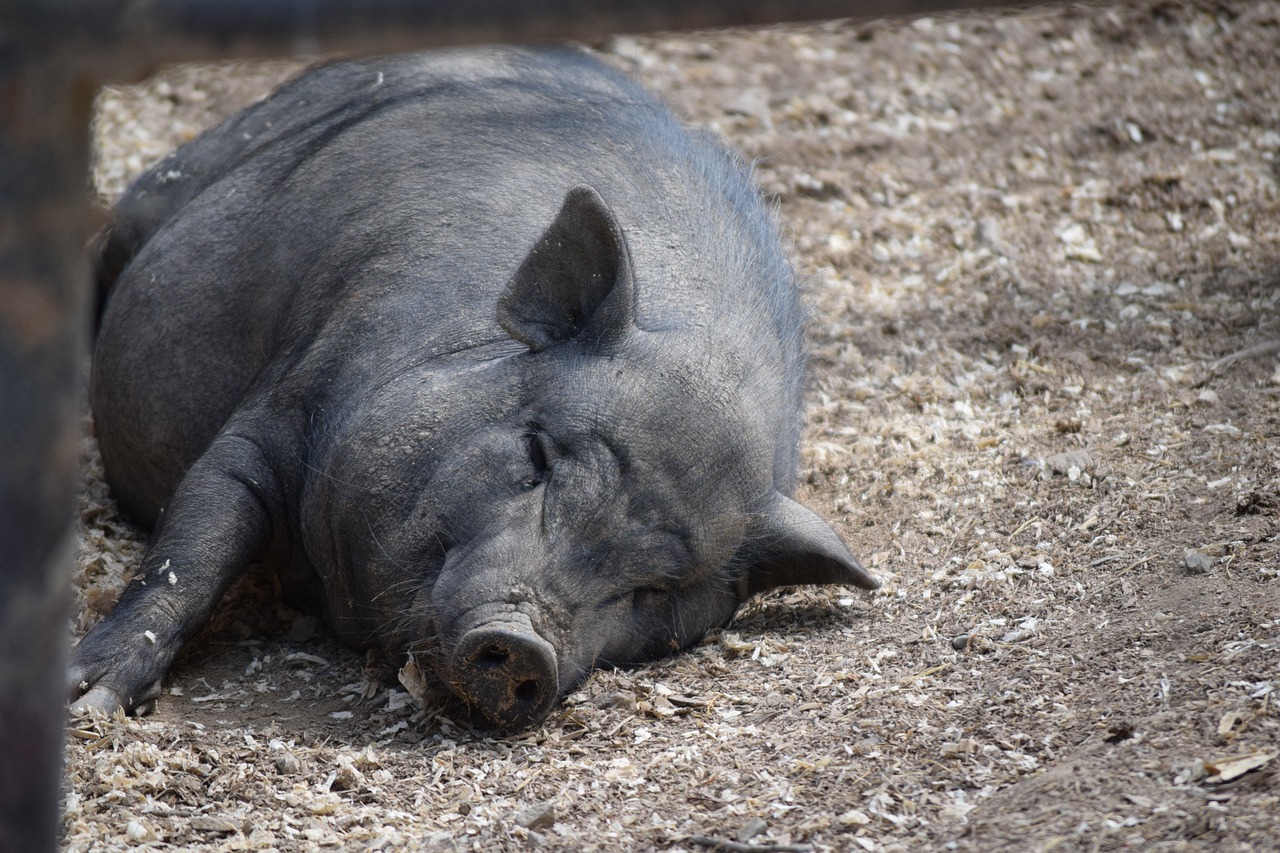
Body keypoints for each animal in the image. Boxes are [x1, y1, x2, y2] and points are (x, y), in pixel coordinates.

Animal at [71, 46, 878, 730]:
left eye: (654, 589)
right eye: (538, 455)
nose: (522, 641)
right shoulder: (290, 398)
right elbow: (194, 545)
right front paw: (88, 702)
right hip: (158, 197)